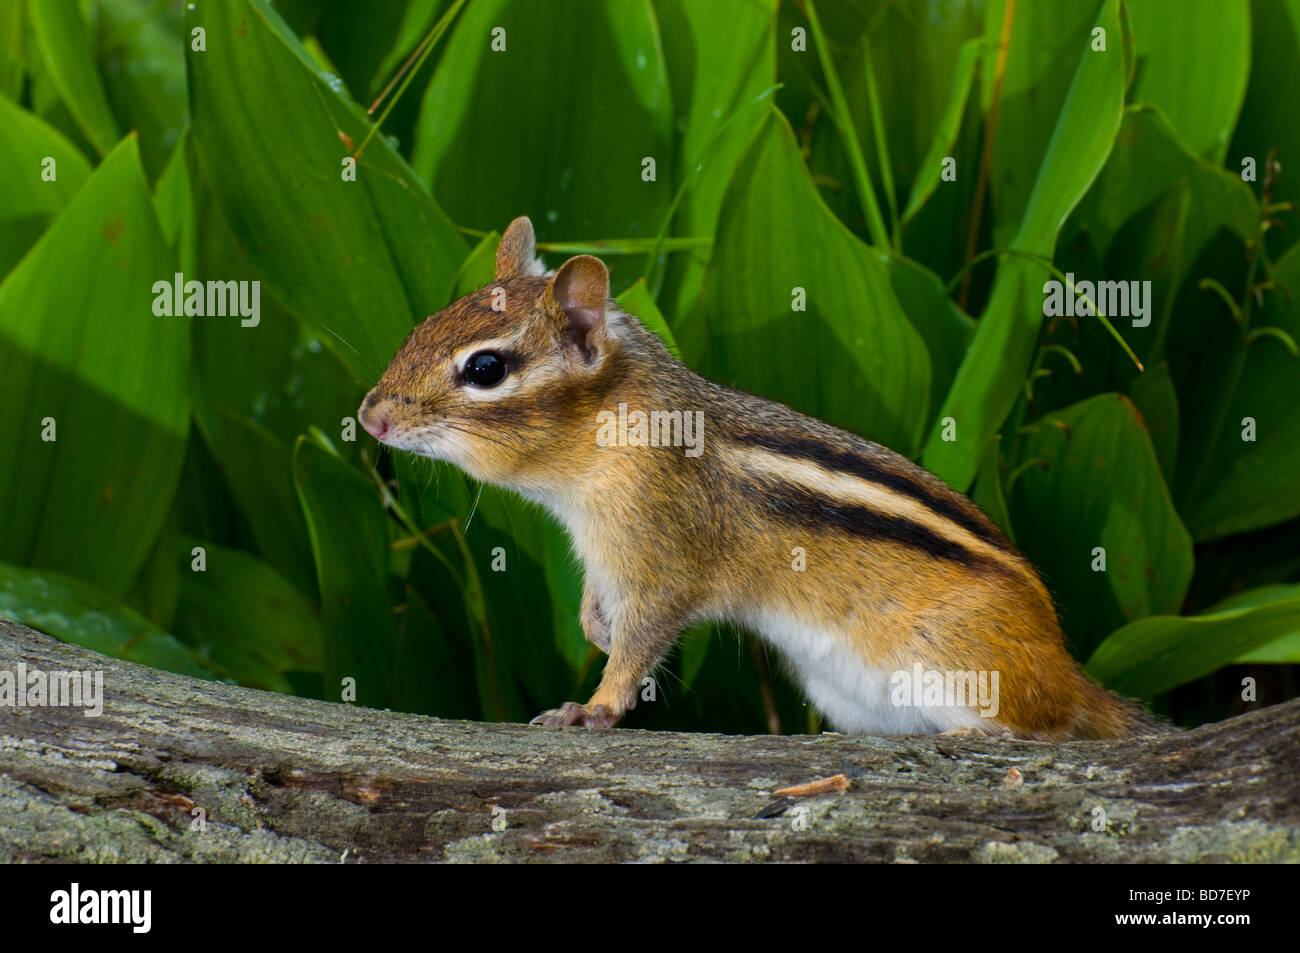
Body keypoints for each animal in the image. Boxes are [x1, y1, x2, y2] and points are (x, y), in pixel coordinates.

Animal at [359, 216, 1160, 741]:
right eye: (426, 322)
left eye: (485, 368)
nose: (370, 417)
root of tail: (1065, 667)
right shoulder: (604, 553)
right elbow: (601, 610)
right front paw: (594, 625)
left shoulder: (660, 558)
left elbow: (645, 637)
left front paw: (594, 706)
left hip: (963, 666)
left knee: (1041, 728)